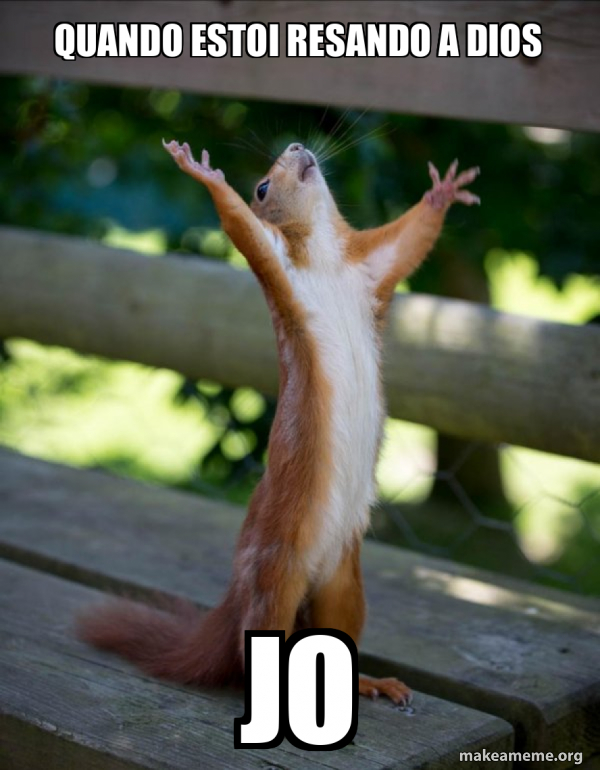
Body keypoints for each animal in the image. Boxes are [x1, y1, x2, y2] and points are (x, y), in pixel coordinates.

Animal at [78, 139, 479, 706]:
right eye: (262, 187)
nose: (296, 146)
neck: (327, 259)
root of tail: (237, 594)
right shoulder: (277, 265)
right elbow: (240, 226)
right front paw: (203, 173)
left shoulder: (372, 267)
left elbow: (411, 239)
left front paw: (442, 192)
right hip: (274, 583)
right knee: (254, 653)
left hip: (344, 587)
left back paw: (368, 683)